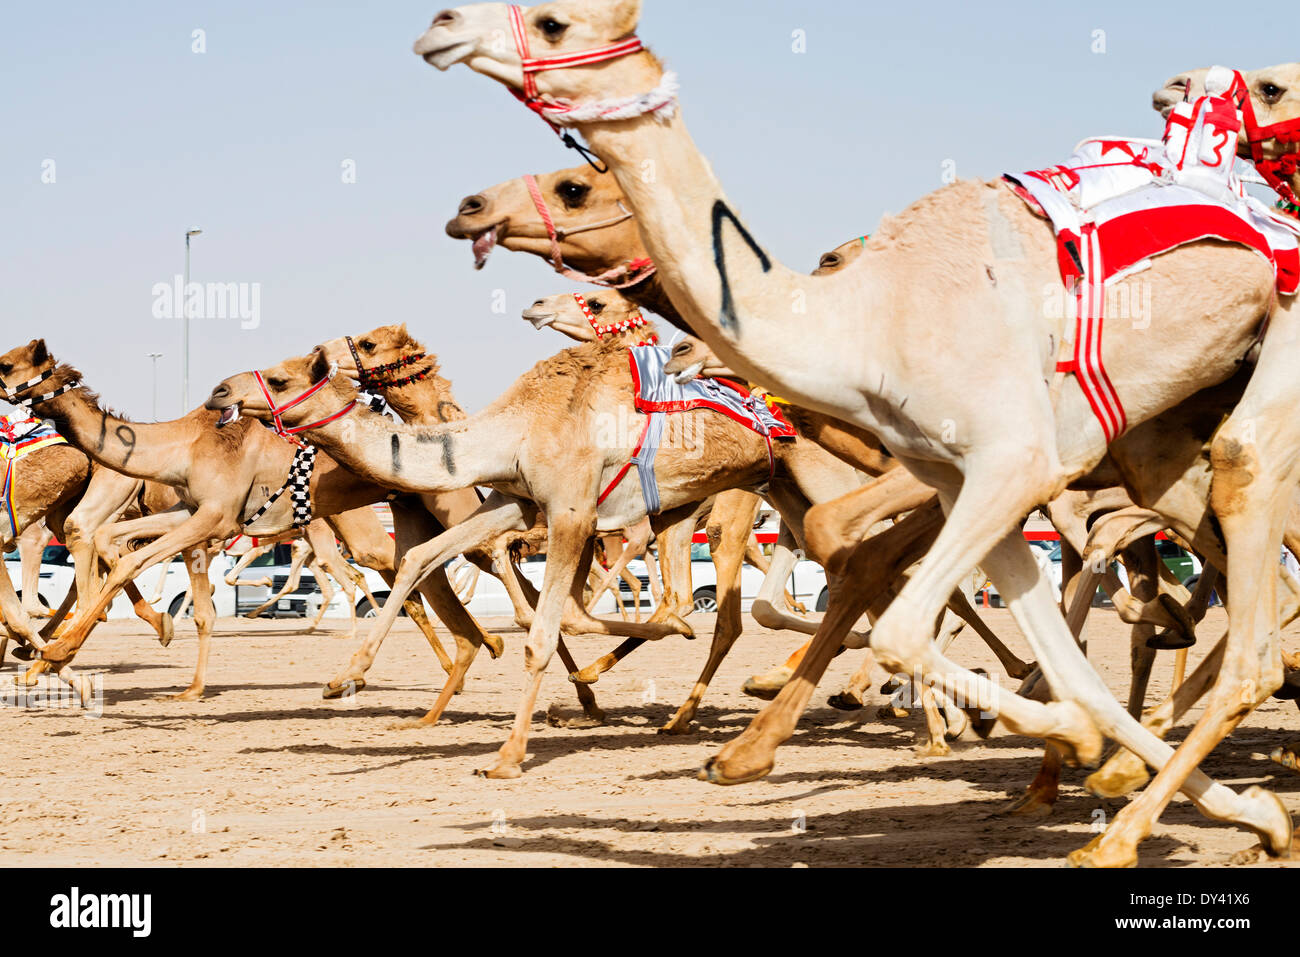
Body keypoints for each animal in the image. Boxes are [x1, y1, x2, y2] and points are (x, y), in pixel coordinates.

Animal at [419, 8, 1300, 862]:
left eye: (571, 187)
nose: (470, 207)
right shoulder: (955, 476)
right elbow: (879, 573)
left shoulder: (984, 464)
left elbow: (868, 570)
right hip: (1159, 448)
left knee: (1234, 515)